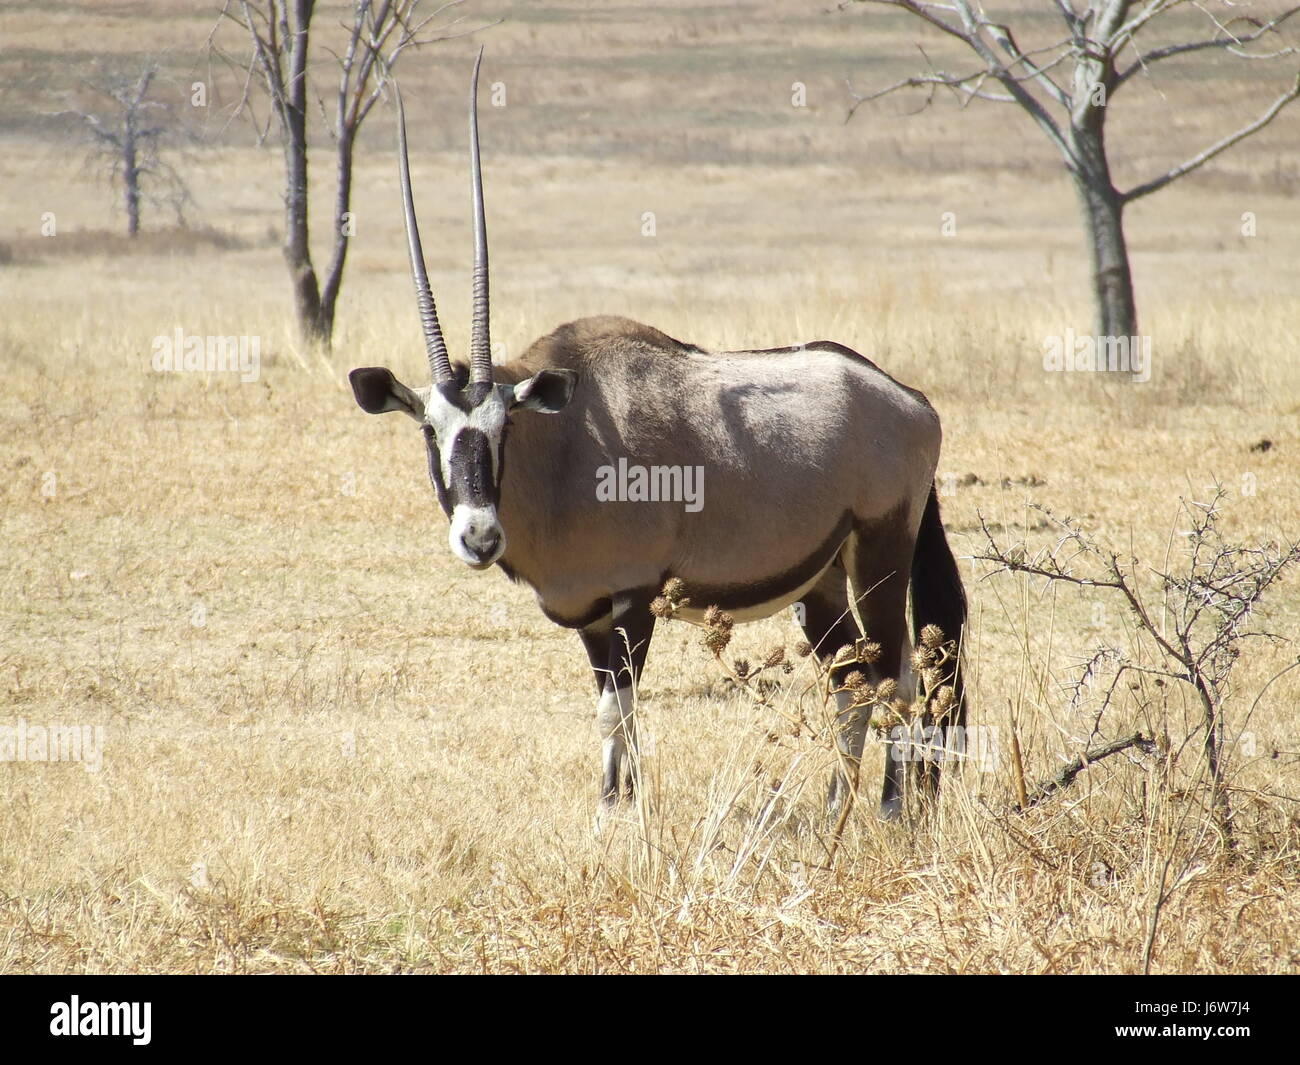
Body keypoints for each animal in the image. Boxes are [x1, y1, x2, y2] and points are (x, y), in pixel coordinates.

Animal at [350, 52, 967, 819]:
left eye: (504, 425)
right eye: (430, 429)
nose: (479, 536)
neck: (564, 446)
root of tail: (911, 401)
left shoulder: (633, 599)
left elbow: (619, 710)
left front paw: (615, 814)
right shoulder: (590, 616)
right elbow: (613, 714)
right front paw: (615, 806)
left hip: (880, 551)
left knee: (896, 677)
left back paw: (888, 810)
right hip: (822, 581)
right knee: (853, 682)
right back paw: (834, 809)